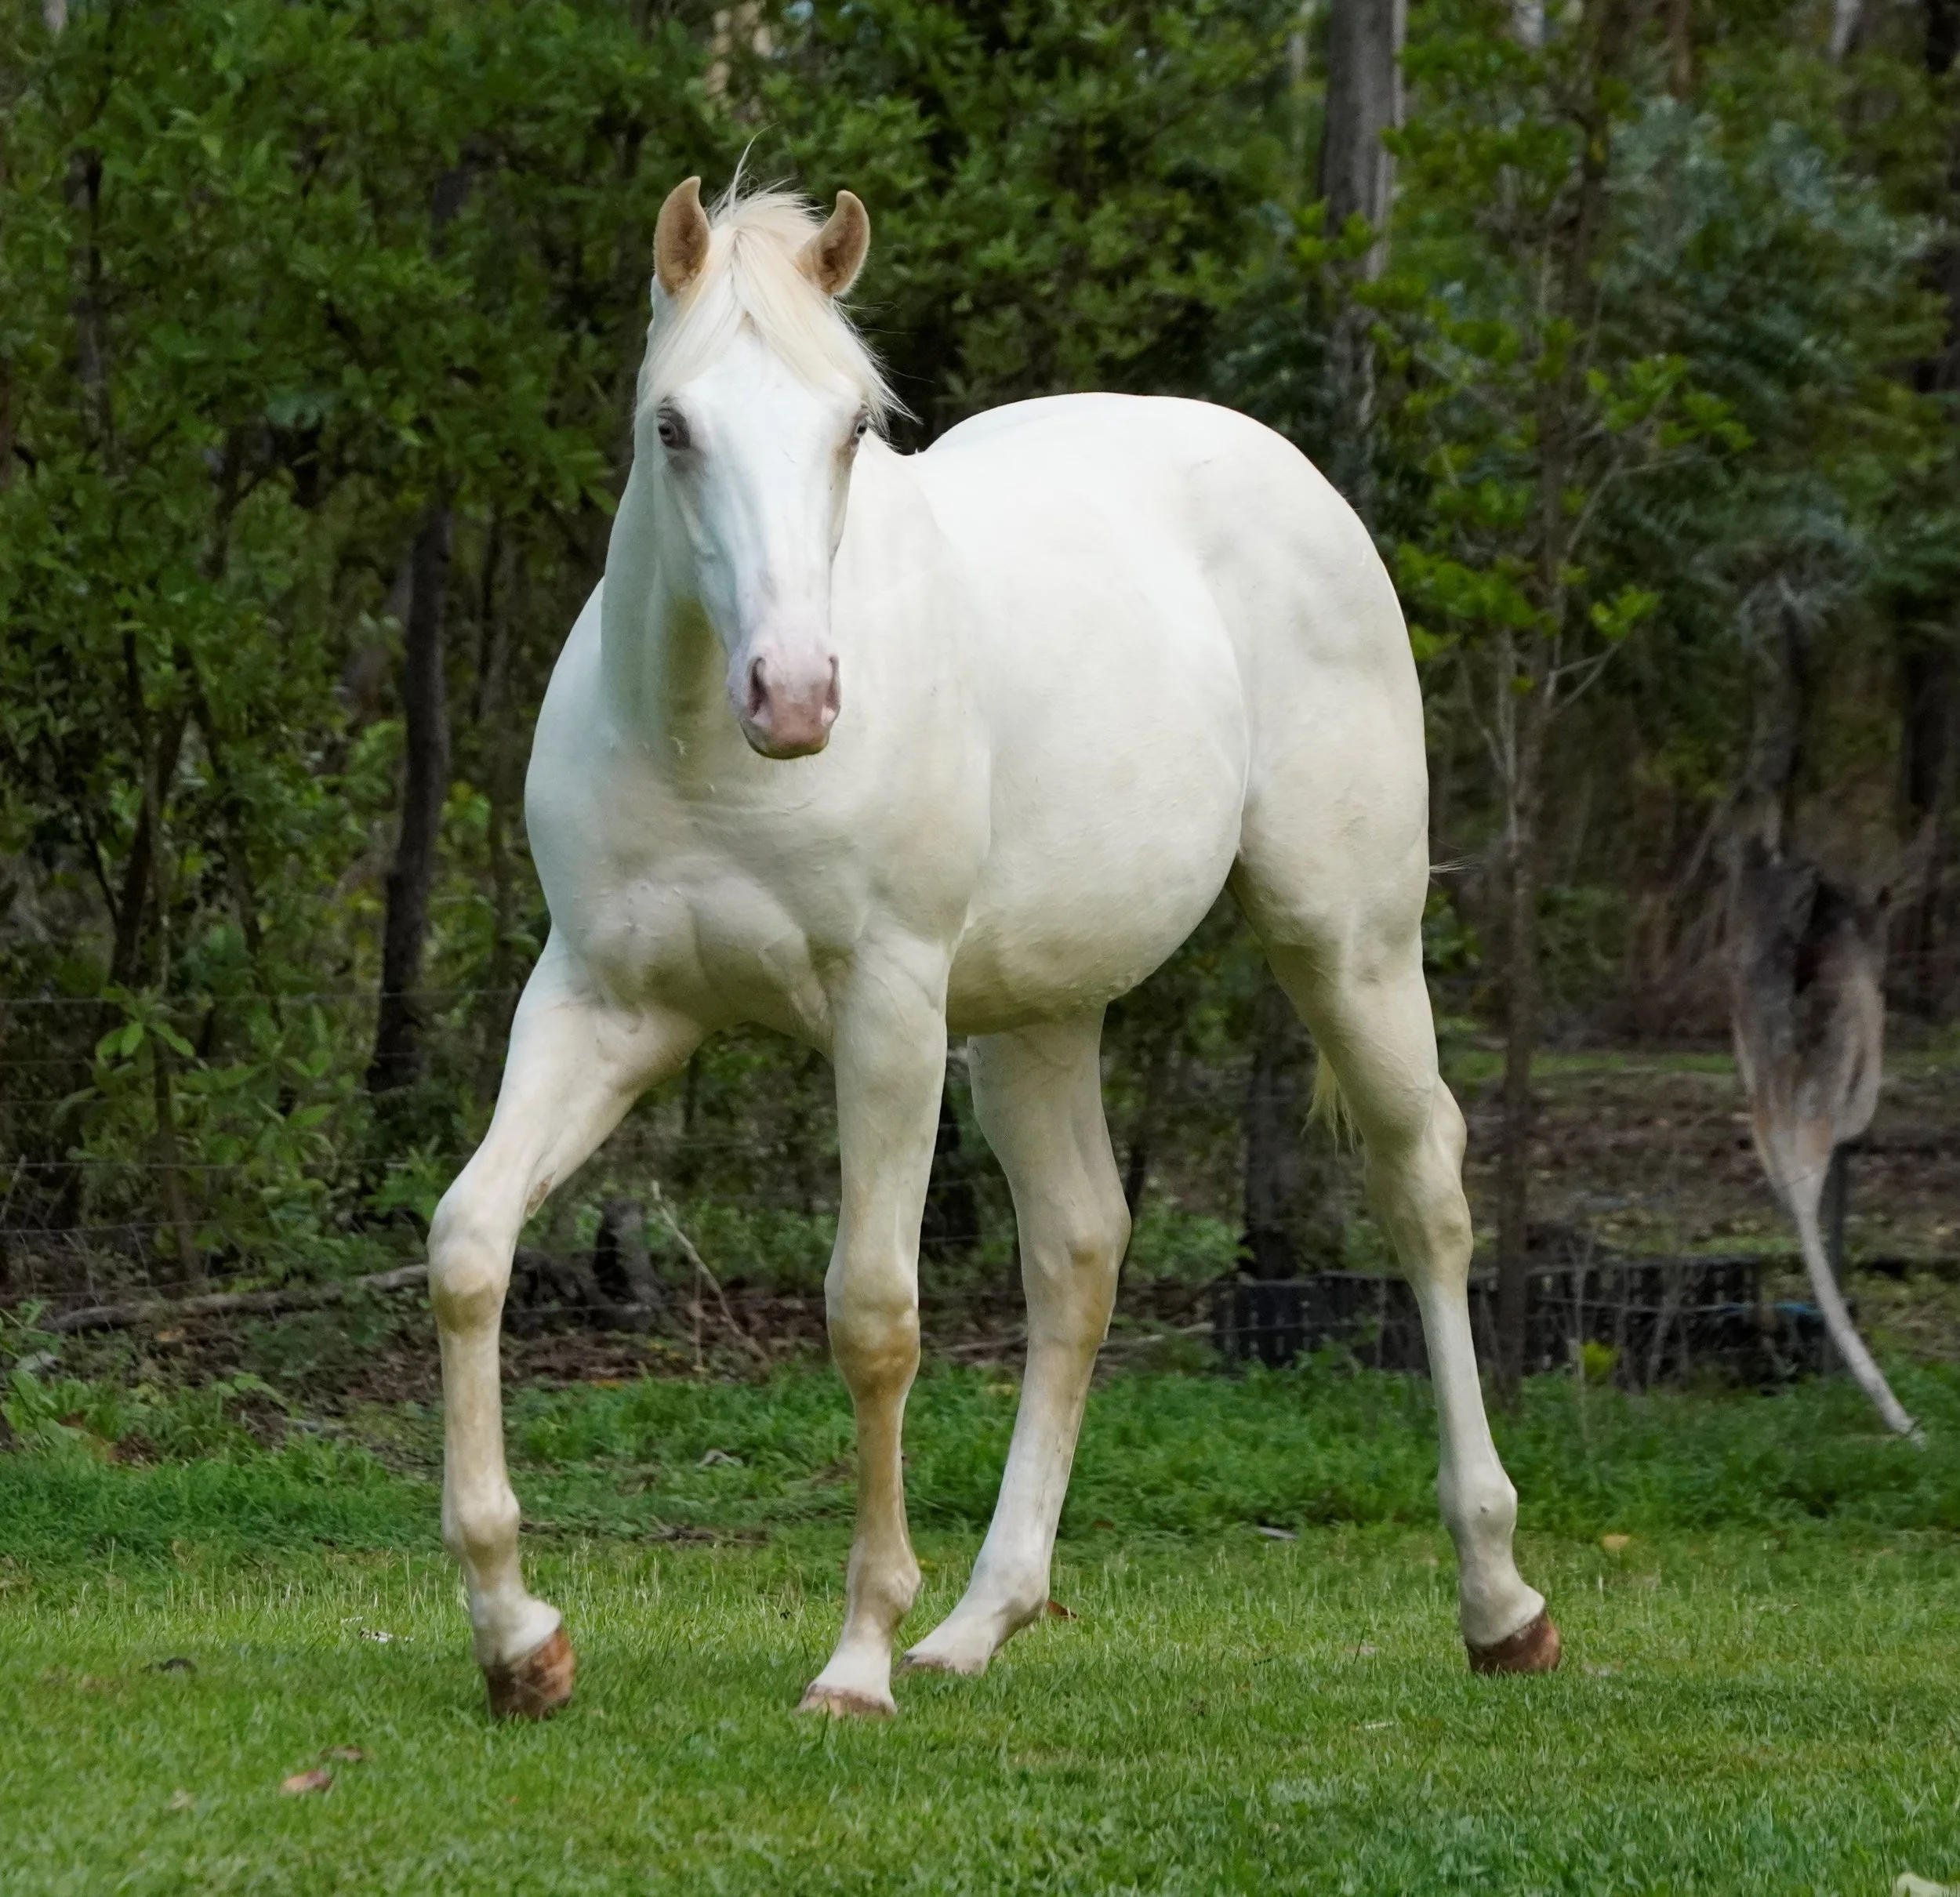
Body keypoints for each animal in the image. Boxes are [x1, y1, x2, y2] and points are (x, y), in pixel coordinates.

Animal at [428, 177, 1561, 1722]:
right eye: (674, 425)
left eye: (852, 426)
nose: (796, 695)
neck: (712, 763)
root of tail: (1287, 478)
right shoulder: (600, 1007)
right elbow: (470, 1246)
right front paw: (518, 1639)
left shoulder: (888, 1018)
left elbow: (873, 1316)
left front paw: (854, 1659)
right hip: (1035, 1016)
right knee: (1079, 1250)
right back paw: (980, 1621)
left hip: (1349, 944)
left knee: (1424, 1196)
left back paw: (1502, 1603)